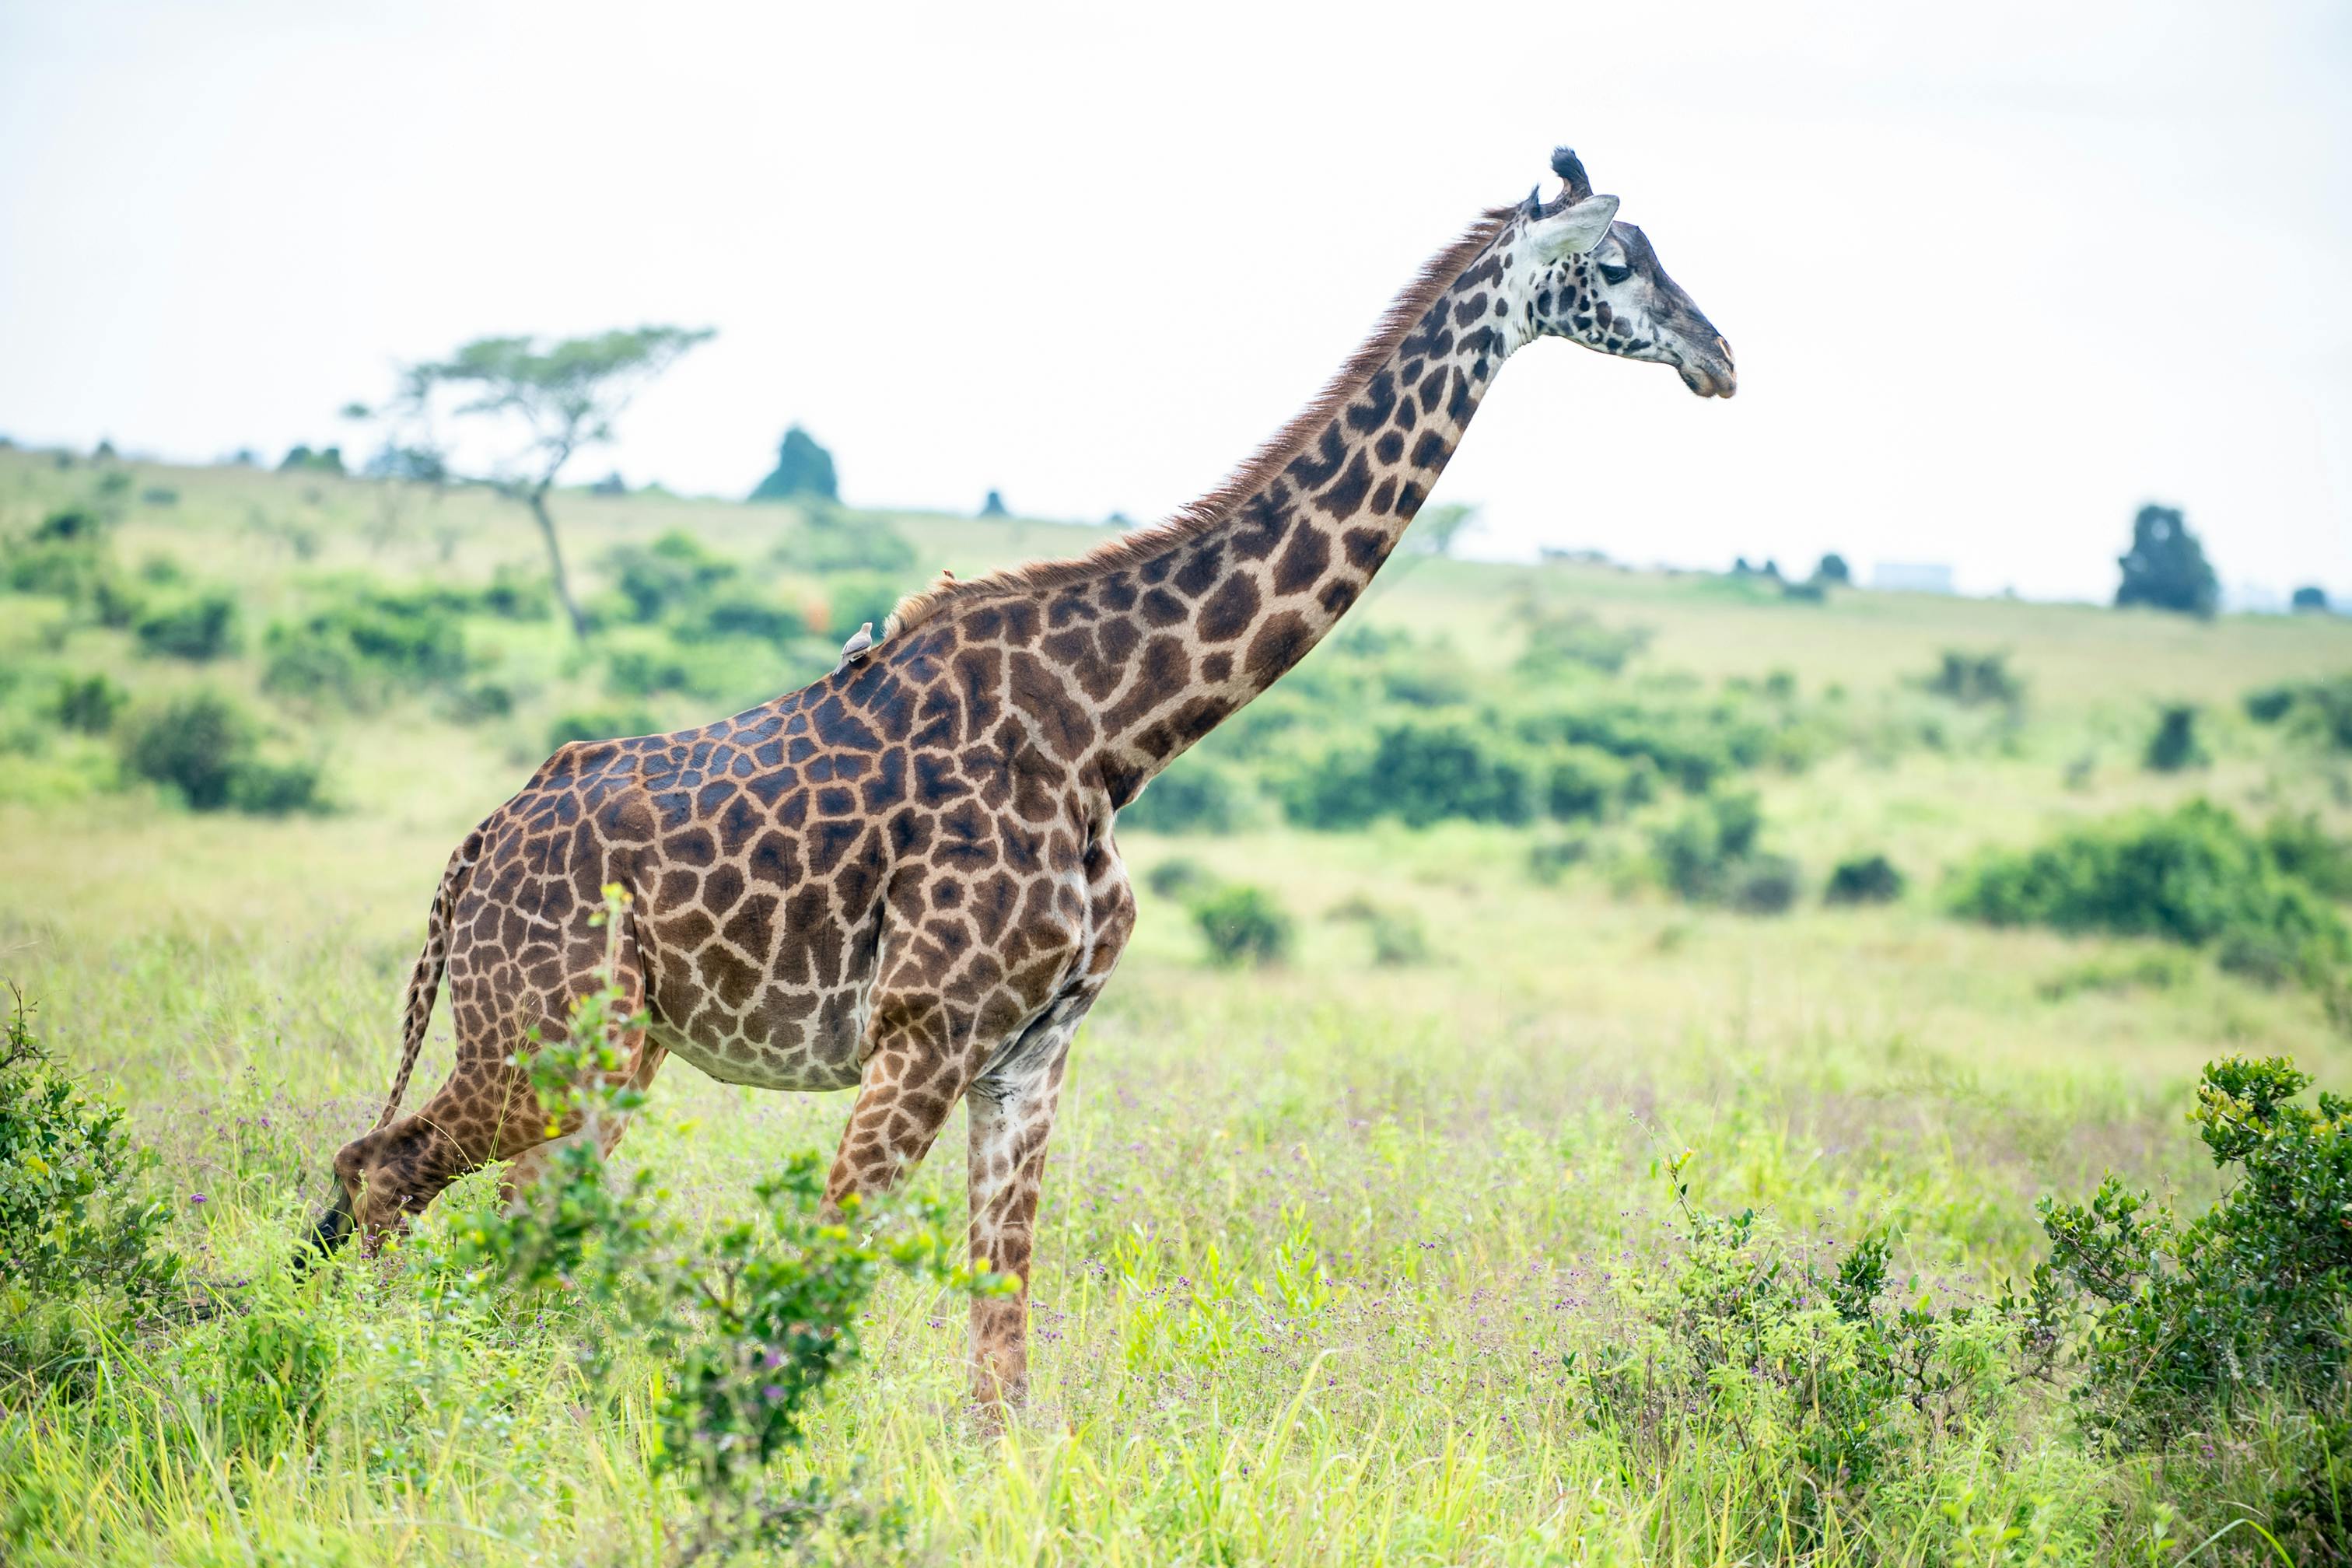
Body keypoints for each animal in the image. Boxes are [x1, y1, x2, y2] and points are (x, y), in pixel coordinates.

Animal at [313, 145, 1734, 1408]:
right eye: (1616, 263)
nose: (1722, 357)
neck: (1107, 734)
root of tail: (476, 849)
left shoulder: (1031, 1052)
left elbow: (1002, 1345)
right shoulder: (922, 1030)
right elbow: (814, 1285)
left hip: (615, 1052)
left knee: (510, 1219)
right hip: (547, 1033)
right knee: (384, 1166)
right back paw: (402, 1388)